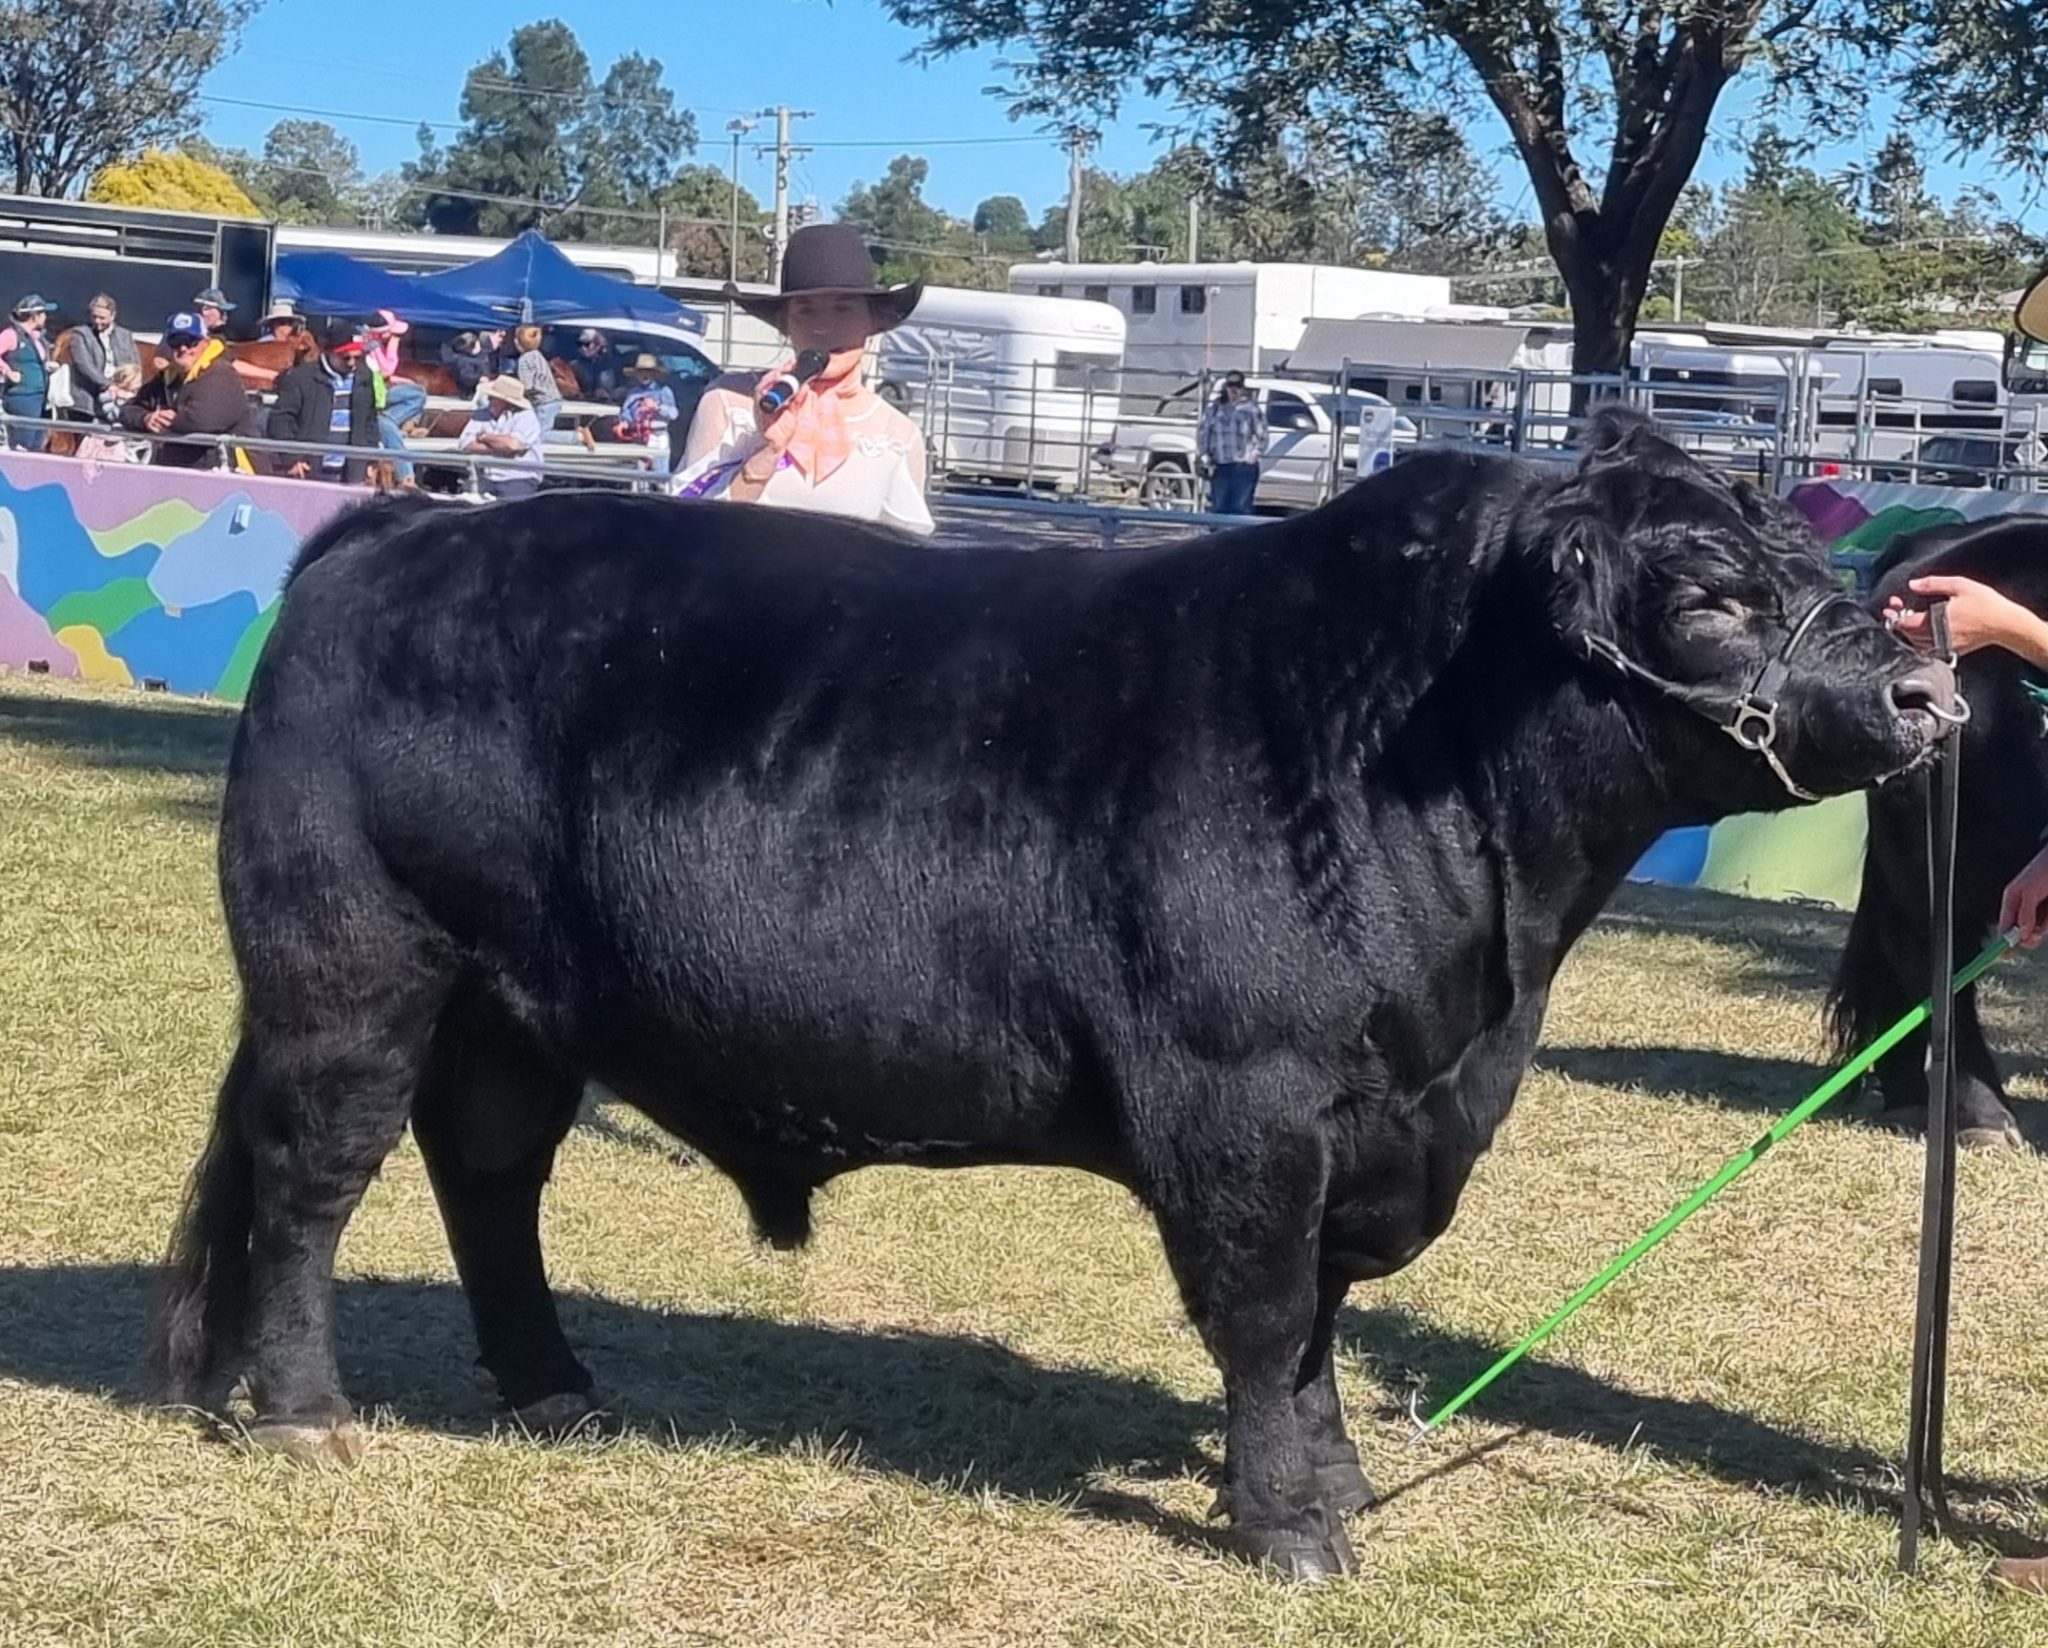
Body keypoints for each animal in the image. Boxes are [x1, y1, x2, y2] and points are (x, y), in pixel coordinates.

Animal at [149, 410, 1955, 1581]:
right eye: (1707, 596)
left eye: (1805, 556)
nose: (1927, 688)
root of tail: (404, 529)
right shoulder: (1243, 1107)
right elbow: (1263, 1312)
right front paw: (1290, 1526)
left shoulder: (1373, 1123)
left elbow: (1322, 1320)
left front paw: (1337, 1482)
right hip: (350, 974)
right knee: (316, 1179)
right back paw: (306, 1413)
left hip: (522, 1008)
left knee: (488, 1177)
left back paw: (552, 1389)